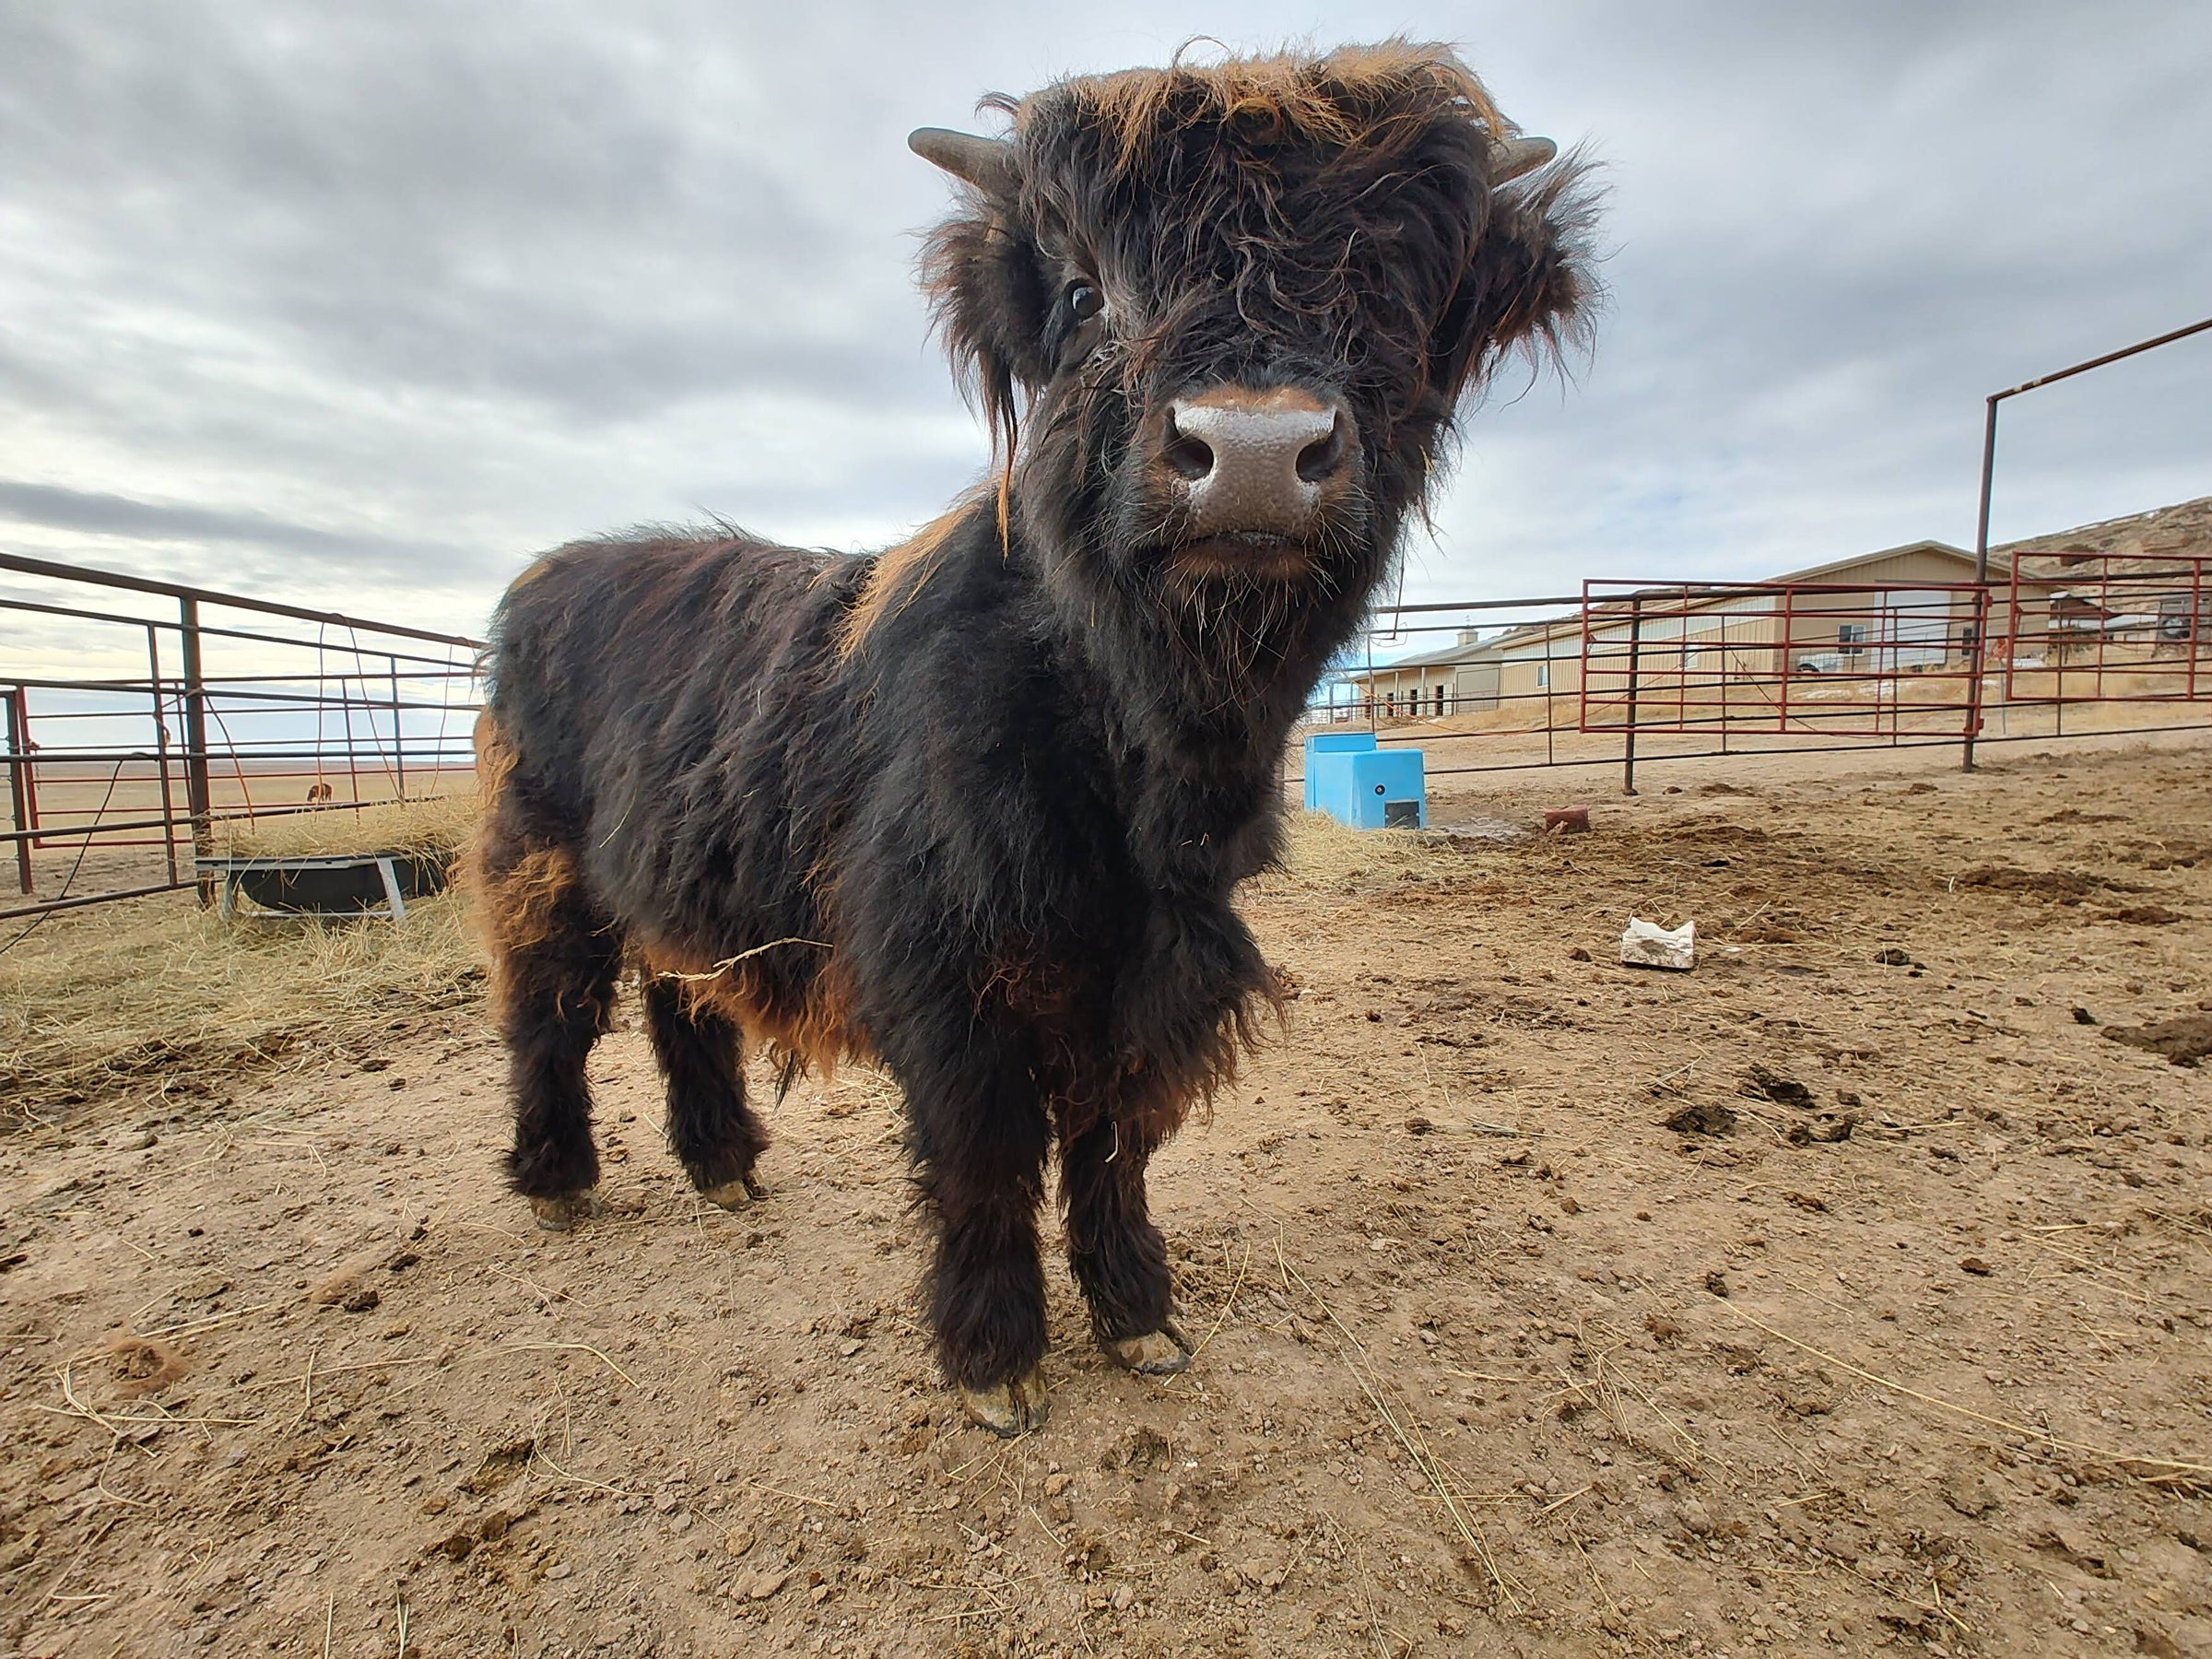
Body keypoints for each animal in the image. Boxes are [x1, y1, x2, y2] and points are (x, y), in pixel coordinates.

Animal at [469, 42, 1594, 1436]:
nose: (1255, 452)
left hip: (681, 870)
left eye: (1394, 297)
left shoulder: (1152, 965)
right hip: (541, 863)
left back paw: (724, 1166)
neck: (1141, 765)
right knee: (550, 1010)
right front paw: (998, 1359)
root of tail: (556, 571)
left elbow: (1116, 1134)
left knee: (685, 998)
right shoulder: (945, 968)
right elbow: (988, 1149)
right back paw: (558, 1180)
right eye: (1083, 291)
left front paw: (1138, 1313)